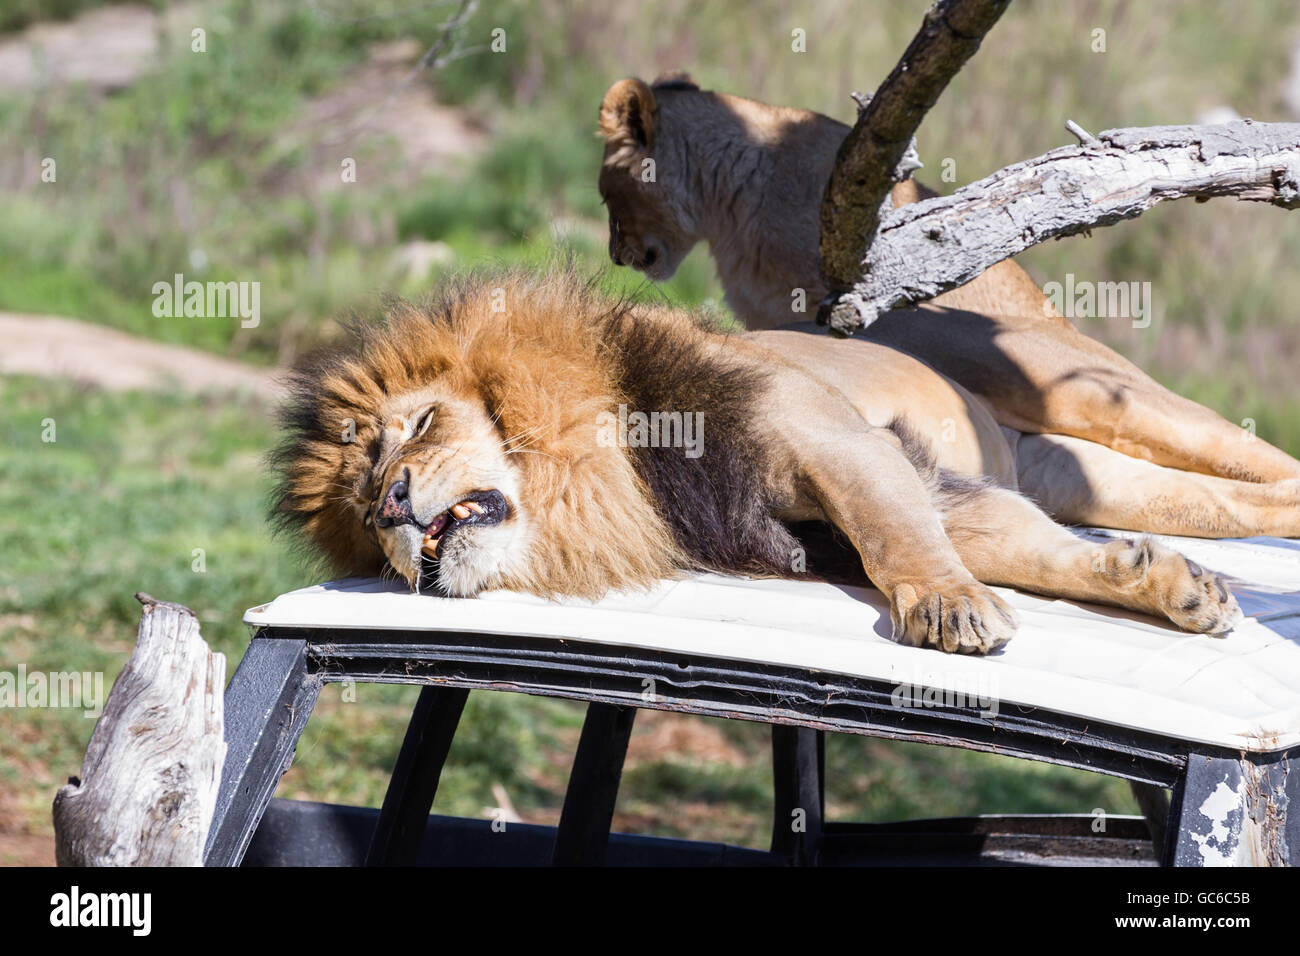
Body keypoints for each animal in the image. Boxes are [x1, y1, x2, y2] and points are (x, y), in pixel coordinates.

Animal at [272, 269, 1245, 655]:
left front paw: (947, 607)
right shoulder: (941, 497)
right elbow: (1031, 553)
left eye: (420, 424)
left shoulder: (838, 441)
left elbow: (895, 540)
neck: (620, 474)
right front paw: (1173, 586)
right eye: (362, 510)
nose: (392, 504)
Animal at [595, 75, 1300, 535]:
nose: (616, 254)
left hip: (1077, 387)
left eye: (606, 193)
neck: (732, 192)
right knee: (1229, 501)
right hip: (1093, 475)